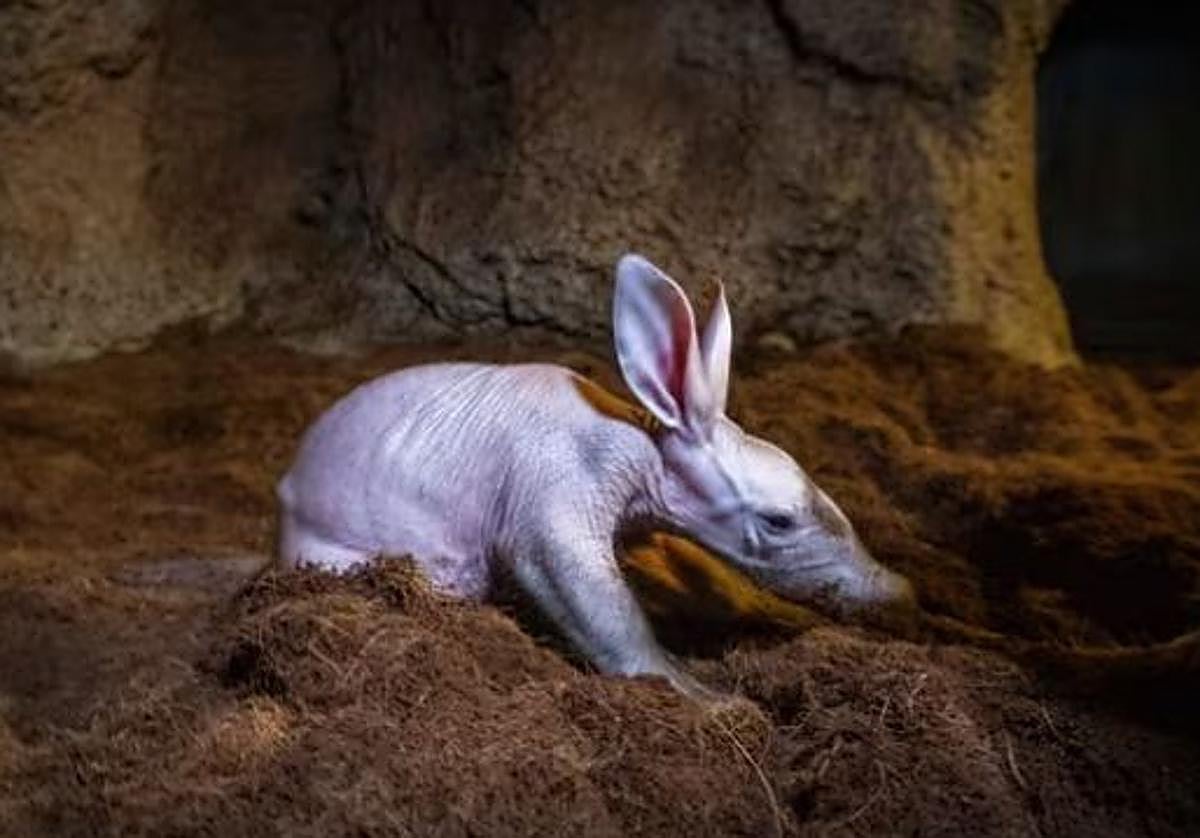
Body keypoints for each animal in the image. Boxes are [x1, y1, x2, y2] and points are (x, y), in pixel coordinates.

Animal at [276, 253, 915, 697]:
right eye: (779, 520)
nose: (897, 590)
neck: (647, 443)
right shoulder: (556, 488)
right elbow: (579, 579)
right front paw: (702, 693)